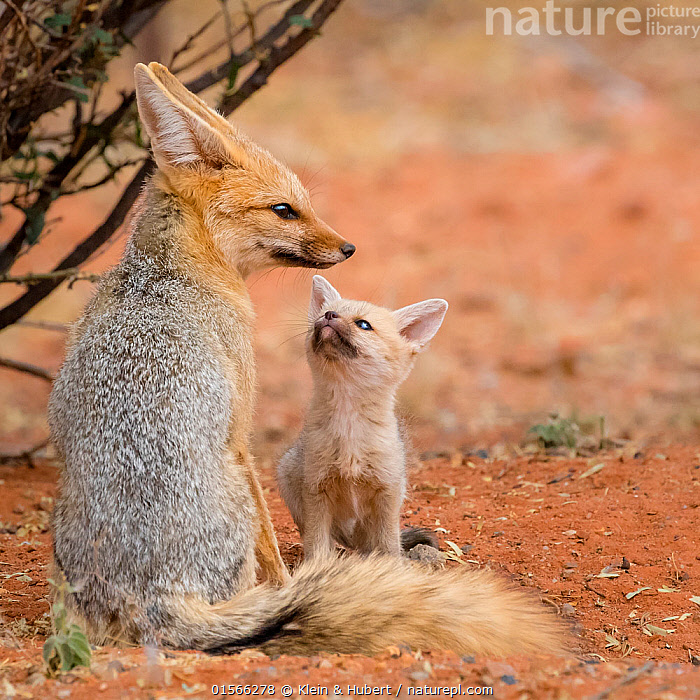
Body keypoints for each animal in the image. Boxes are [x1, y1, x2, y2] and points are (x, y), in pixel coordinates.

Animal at [277, 276, 447, 559]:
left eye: (363, 324)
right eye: (325, 313)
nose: (329, 315)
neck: (349, 431)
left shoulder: (387, 491)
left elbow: (389, 545)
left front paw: (393, 568)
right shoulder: (316, 488)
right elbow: (316, 545)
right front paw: (318, 567)